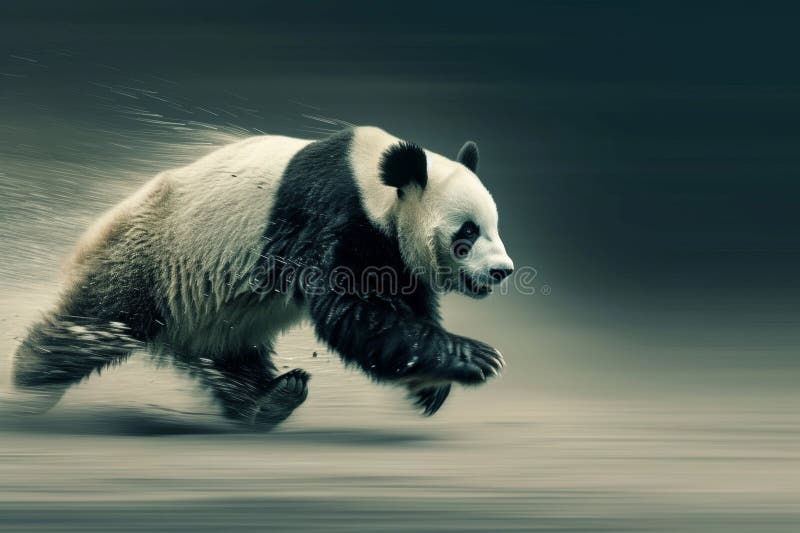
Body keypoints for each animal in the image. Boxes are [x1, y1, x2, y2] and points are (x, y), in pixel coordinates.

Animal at [13, 126, 514, 427]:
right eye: (467, 232)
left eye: (494, 225)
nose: (502, 271)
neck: (377, 181)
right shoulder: (333, 212)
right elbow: (354, 311)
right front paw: (476, 357)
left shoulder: (387, 244)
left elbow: (400, 304)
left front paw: (433, 386)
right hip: (148, 257)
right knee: (97, 322)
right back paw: (24, 384)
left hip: (209, 307)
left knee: (229, 357)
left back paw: (270, 399)